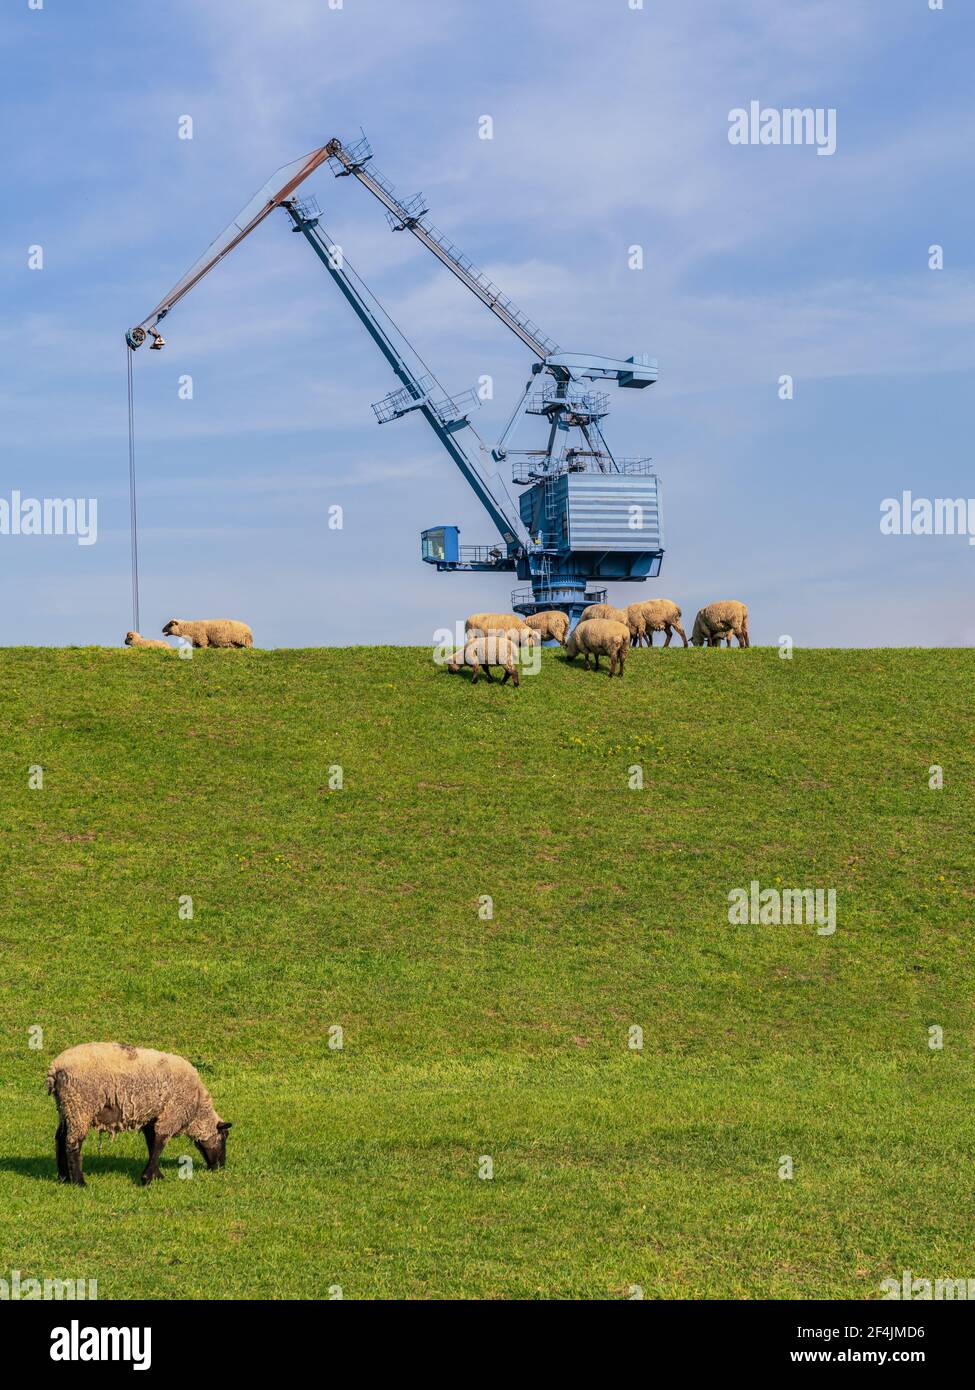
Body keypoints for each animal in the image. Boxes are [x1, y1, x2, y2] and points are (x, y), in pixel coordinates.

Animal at [47, 1042, 231, 1186]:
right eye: (224, 1137)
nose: (220, 1167)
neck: (196, 1109)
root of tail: (55, 1068)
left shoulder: (153, 1116)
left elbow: (152, 1143)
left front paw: (156, 1175)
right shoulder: (172, 1113)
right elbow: (159, 1143)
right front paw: (147, 1178)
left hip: (66, 1108)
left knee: (60, 1138)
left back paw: (63, 1177)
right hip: (80, 1105)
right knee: (72, 1142)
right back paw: (79, 1182)